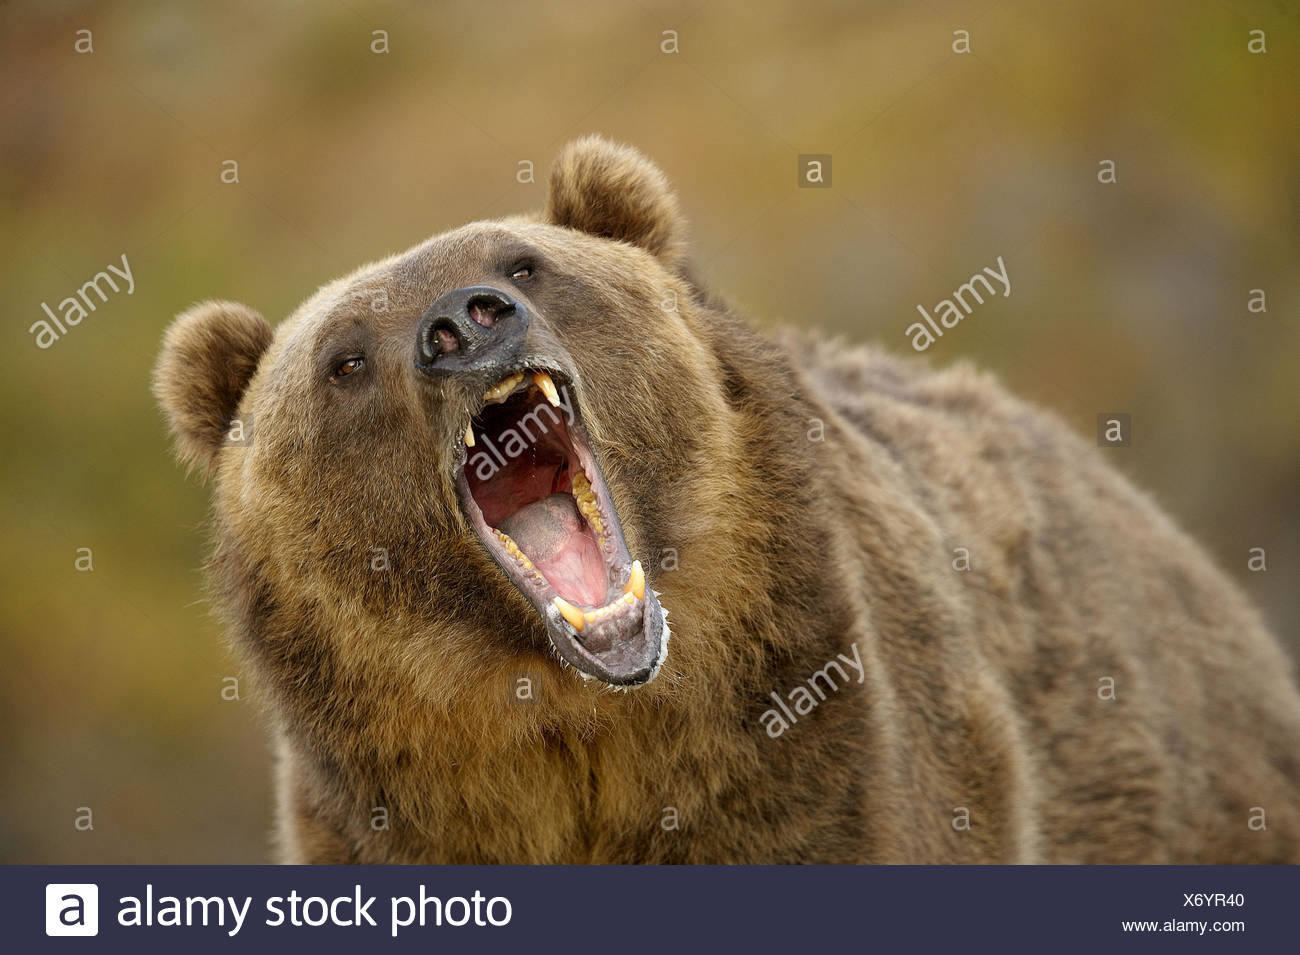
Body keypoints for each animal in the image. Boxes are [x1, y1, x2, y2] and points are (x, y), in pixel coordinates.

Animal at [154, 135, 1300, 864]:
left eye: (521, 262)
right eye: (345, 359)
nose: (460, 322)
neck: (579, 722)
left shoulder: (820, 756)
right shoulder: (381, 818)